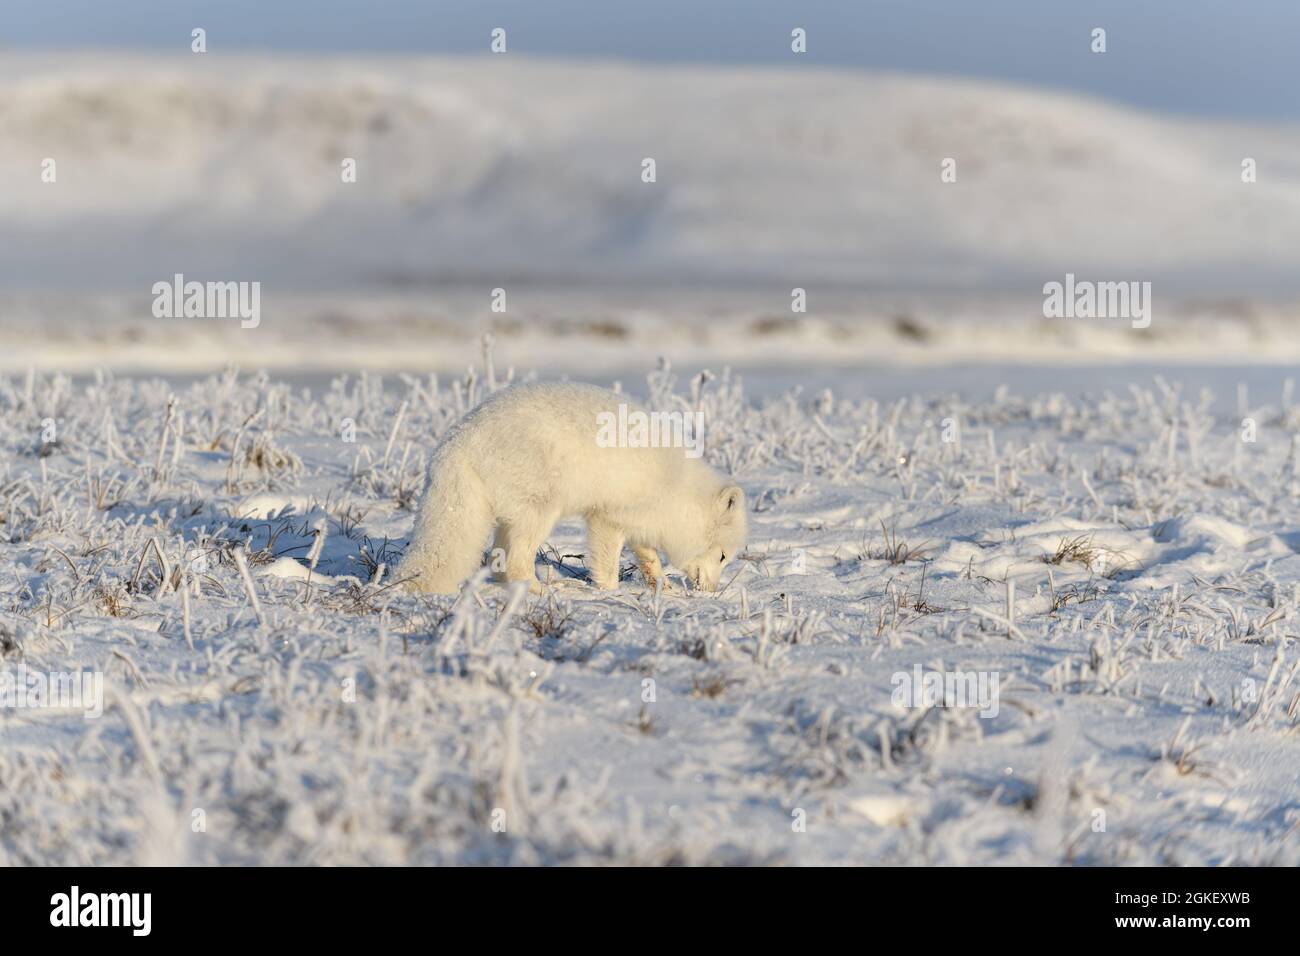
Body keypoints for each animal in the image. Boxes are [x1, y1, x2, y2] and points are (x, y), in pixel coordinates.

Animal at [399, 382, 746, 594]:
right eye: (722, 557)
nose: (713, 591)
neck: (676, 487)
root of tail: (459, 440)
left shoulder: (641, 519)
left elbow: (650, 558)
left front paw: (662, 588)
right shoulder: (607, 517)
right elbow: (607, 563)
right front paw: (609, 593)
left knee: (499, 560)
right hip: (541, 509)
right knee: (516, 560)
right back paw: (538, 590)